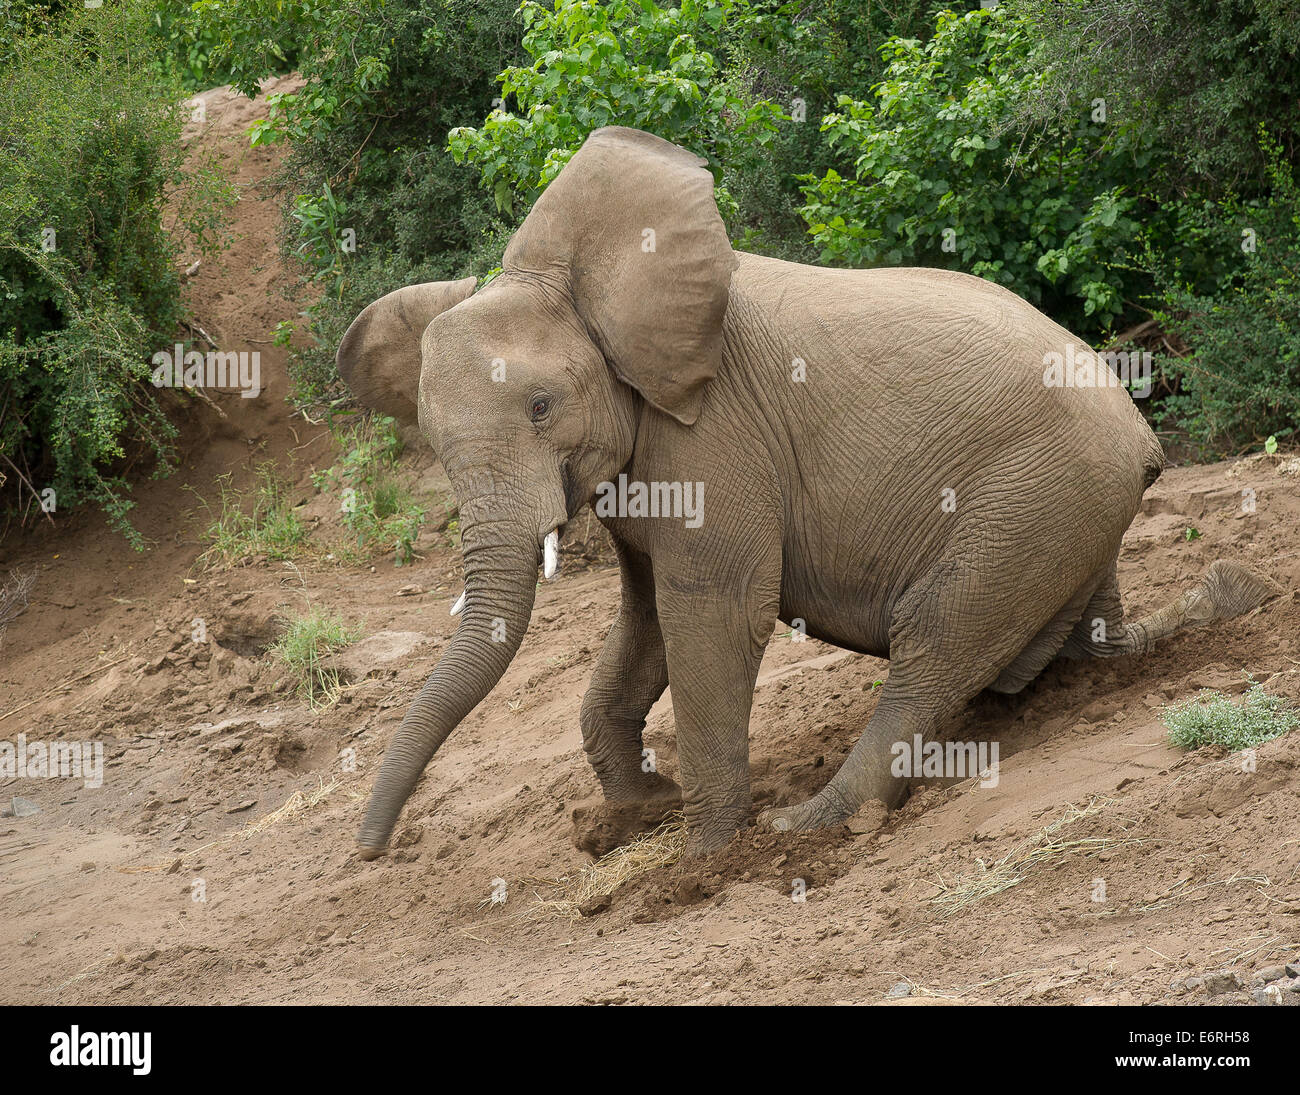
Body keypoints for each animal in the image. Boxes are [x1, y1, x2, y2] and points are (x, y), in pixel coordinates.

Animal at [338, 126, 1280, 859]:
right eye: (431, 438)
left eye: (540, 407)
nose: (371, 849)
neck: (587, 290)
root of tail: (1138, 424)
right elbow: (645, 619)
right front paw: (639, 812)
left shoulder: (714, 431)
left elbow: (713, 611)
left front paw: (703, 858)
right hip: (1070, 503)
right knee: (1067, 638)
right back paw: (1235, 596)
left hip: (1036, 489)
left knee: (937, 634)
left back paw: (809, 826)